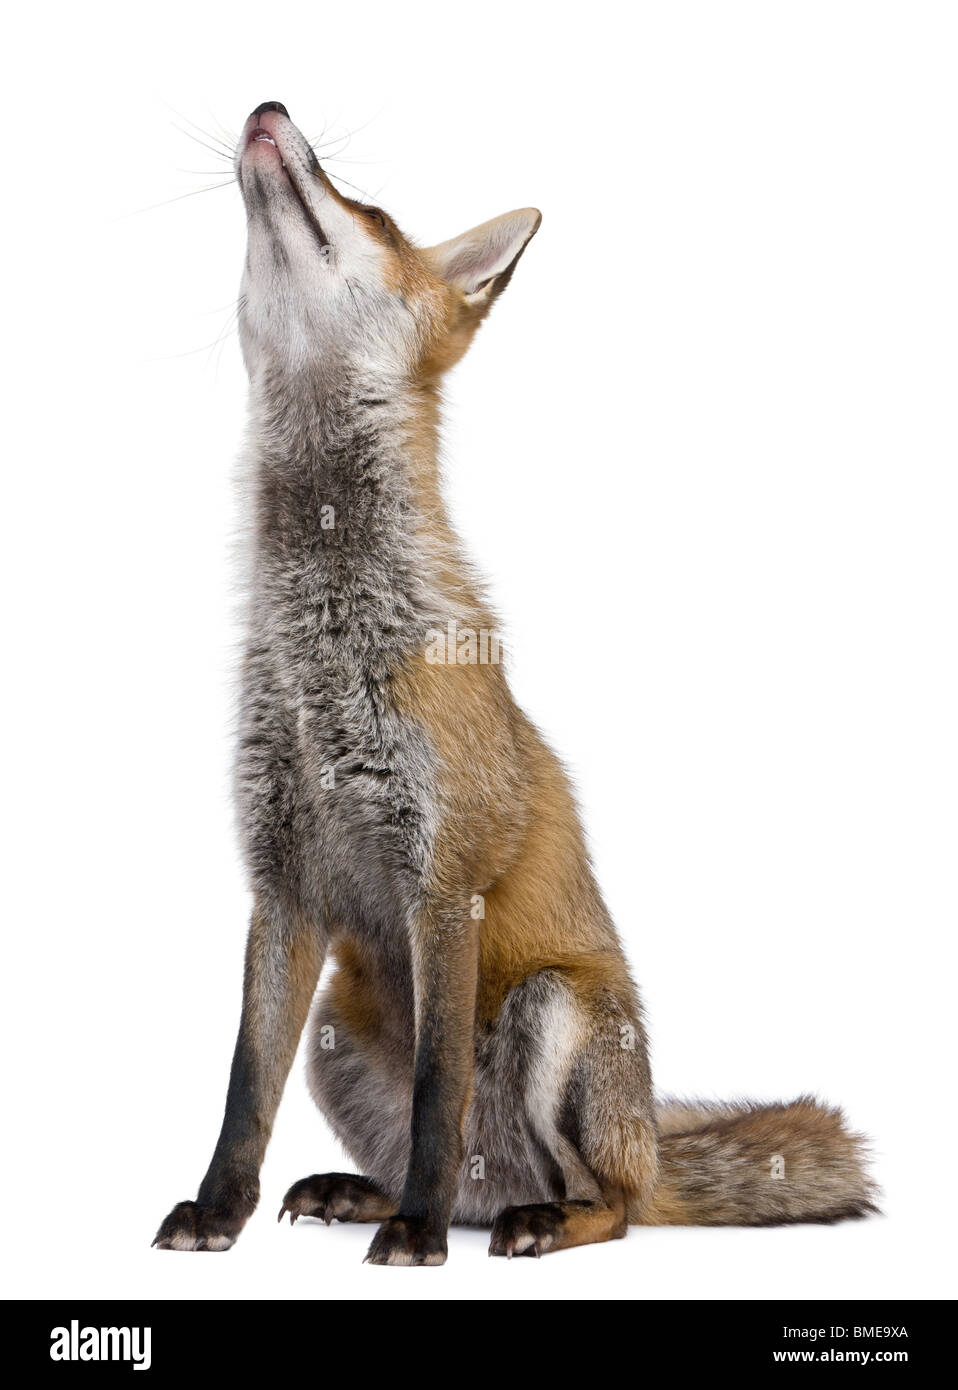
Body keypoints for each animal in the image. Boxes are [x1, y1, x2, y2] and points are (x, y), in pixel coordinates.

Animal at [153, 101, 876, 1264]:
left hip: (551, 1012)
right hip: (335, 1027)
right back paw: (381, 1195)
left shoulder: (445, 880)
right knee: (454, 1165)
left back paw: (517, 1217)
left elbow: (436, 1090)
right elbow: (242, 1088)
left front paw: (415, 1238)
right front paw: (219, 1211)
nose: (269, 112)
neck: (321, 655)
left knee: (605, 1204)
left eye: (372, 211)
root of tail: (647, 1143)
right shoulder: (280, 881)